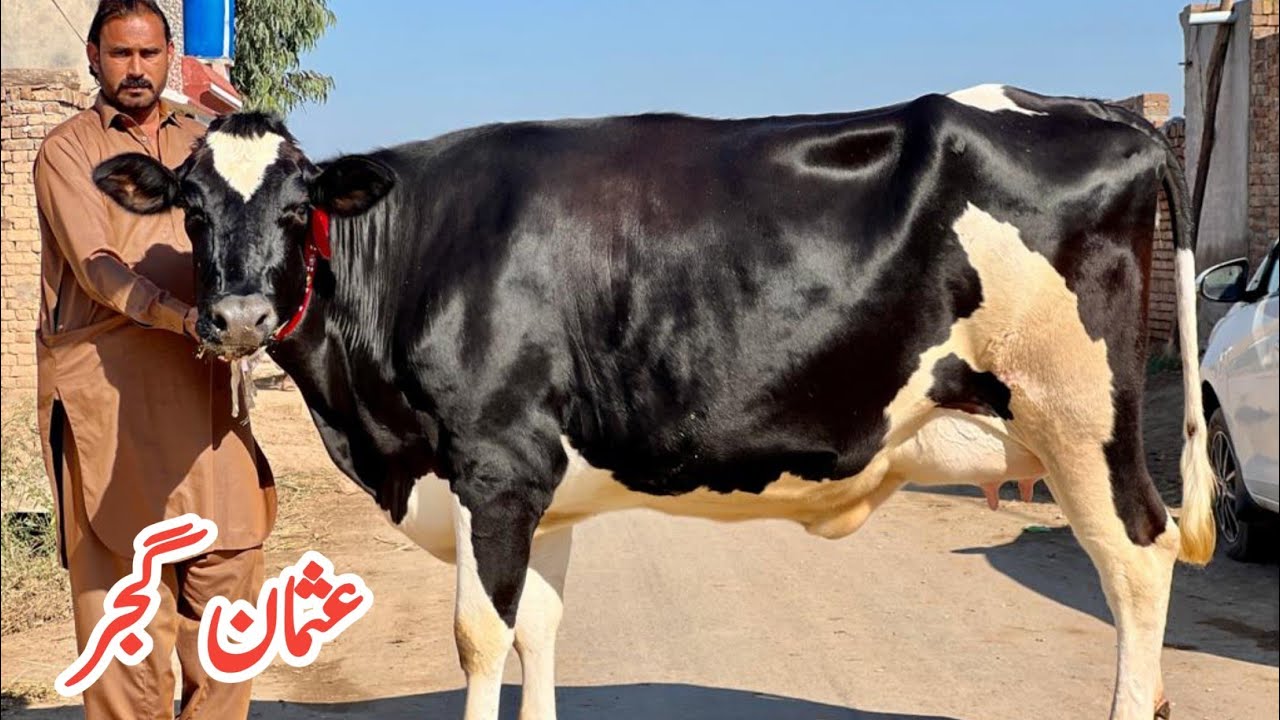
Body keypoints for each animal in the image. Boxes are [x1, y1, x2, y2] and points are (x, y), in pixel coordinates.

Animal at [92, 84, 1215, 720]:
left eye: (298, 207)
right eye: (190, 208)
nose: (236, 315)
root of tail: (1102, 110)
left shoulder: (493, 466)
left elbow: (481, 636)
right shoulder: (542, 489)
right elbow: (539, 630)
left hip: (1077, 413)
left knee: (1137, 563)